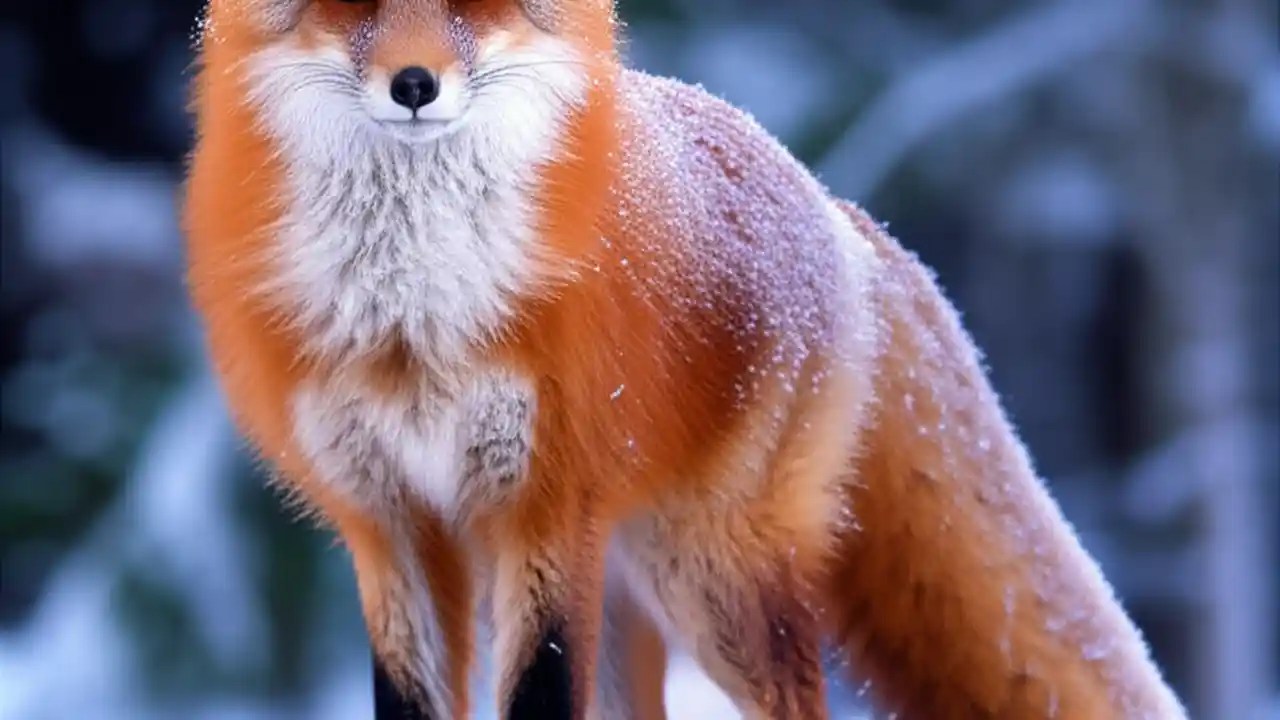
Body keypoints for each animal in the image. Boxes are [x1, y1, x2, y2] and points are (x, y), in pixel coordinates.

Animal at [184, 1, 1188, 718]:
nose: (416, 84)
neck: (414, 320)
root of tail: (838, 211)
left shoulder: (542, 513)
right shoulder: (387, 526)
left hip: (708, 579)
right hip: (623, 585)